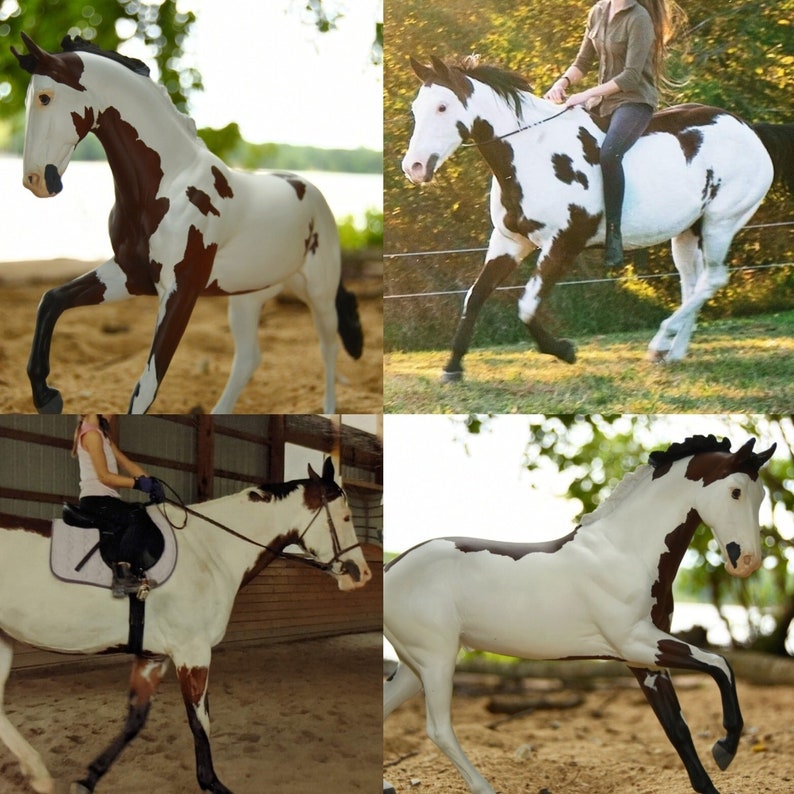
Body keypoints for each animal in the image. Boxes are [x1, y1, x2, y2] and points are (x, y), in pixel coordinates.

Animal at [0, 458, 372, 793]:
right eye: (346, 517)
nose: (362, 574)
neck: (210, 551)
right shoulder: (192, 652)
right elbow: (199, 721)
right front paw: (212, 783)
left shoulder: (154, 656)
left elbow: (136, 719)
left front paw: (88, 778)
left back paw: (38, 774)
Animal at [11, 33, 364, 414]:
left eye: (45, 97)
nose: (36, 180)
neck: (166, 188)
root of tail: (309, 189)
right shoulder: (130, 275)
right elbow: (51, 300)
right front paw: (47, 396)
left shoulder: (181, 291)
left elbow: (147, 386)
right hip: (247, 299)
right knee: (248, 359)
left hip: (318, 292)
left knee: (328, 347)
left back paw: (329, 412)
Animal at [384, 435, 776, 794]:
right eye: (736, 491)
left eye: (761, 496)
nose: (747, 562)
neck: (625, 552)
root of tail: (391, 569)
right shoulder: (637, 643)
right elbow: (721, 664)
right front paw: (725, 748)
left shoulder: (644, 662)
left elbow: (677, 728)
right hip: (436, 659)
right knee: (439, 730)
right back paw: (484, 788)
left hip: (414, 667)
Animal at [402, 56, 794, 381]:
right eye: (417, 108)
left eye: (442, 106)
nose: (414, 167)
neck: (532, 153)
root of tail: (750, 130)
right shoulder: (510, 241)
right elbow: (475, 296)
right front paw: (452, 369)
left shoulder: (564, 243)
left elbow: (526, 306)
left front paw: (564, 350)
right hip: (686, 232)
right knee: (692, 283)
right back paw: (672, 352)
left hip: (720, 224)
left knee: (713, 279)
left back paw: (659, 343)